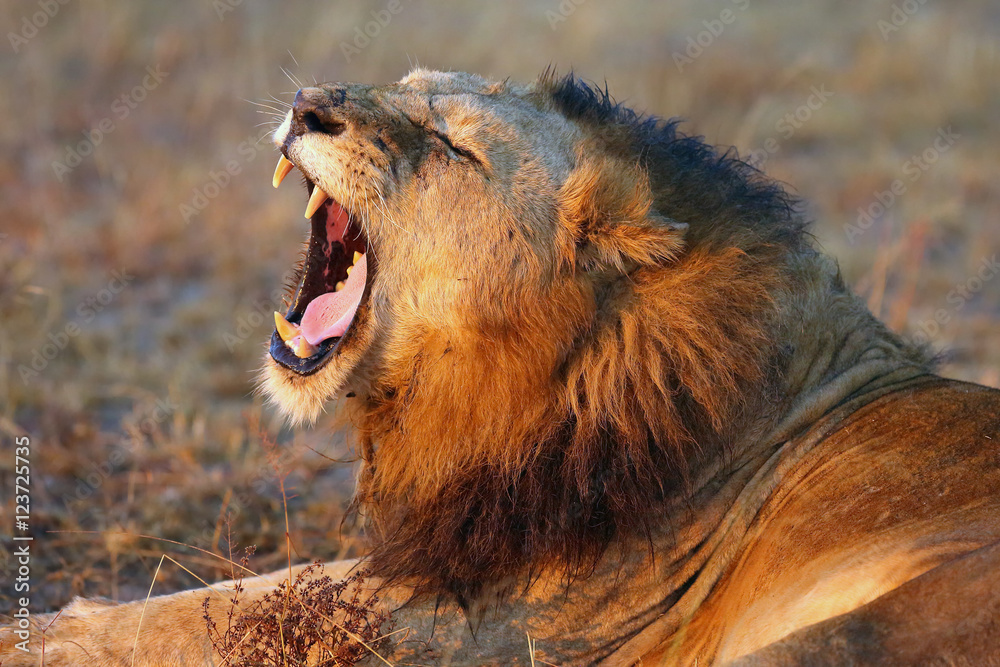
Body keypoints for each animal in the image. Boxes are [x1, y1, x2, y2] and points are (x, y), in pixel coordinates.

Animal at [3, 69, 1000, 666]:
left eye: (454, 146)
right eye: (402, 89)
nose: (309, 102)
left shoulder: (484, 623)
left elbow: (209, 617)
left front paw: (37, 632)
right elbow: (253, 587)